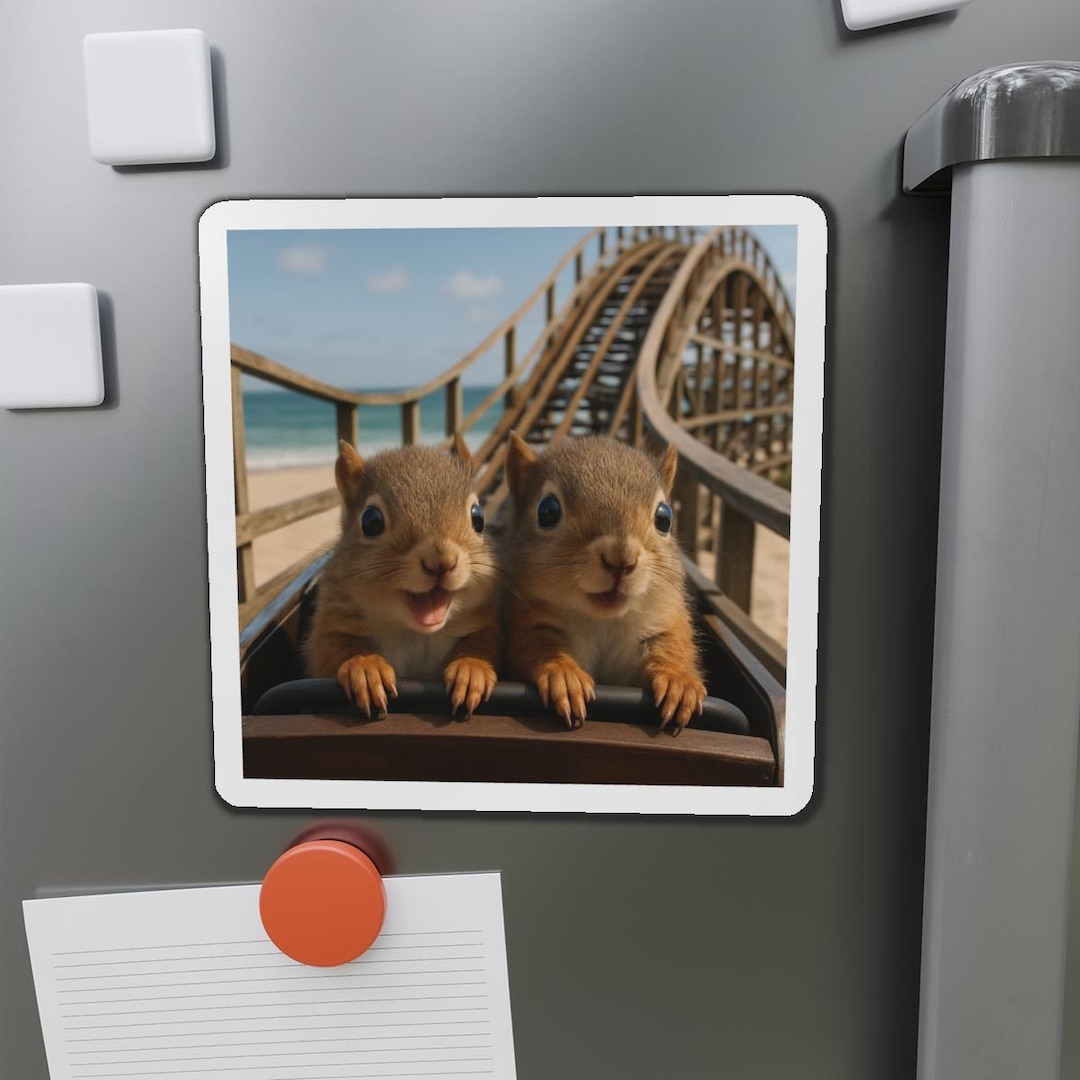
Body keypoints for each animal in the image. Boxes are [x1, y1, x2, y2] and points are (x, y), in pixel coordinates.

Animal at [304, 434, 501, 720]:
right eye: (371, 521)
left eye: (478, 517)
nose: (441, 562)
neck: (415, 632)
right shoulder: (332, 620)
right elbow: (330, 650)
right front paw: (366, 668)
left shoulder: (482, 621)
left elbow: (485, 642)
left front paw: (471, 669)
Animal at [501, 431, 707, 733]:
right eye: (547, 511)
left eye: (665, 517)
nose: (621, 559)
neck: (603, 621)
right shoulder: (528, 620)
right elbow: (537, 646)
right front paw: (564, 675)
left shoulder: (667, 617)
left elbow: (674, 645)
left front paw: (678, 681)